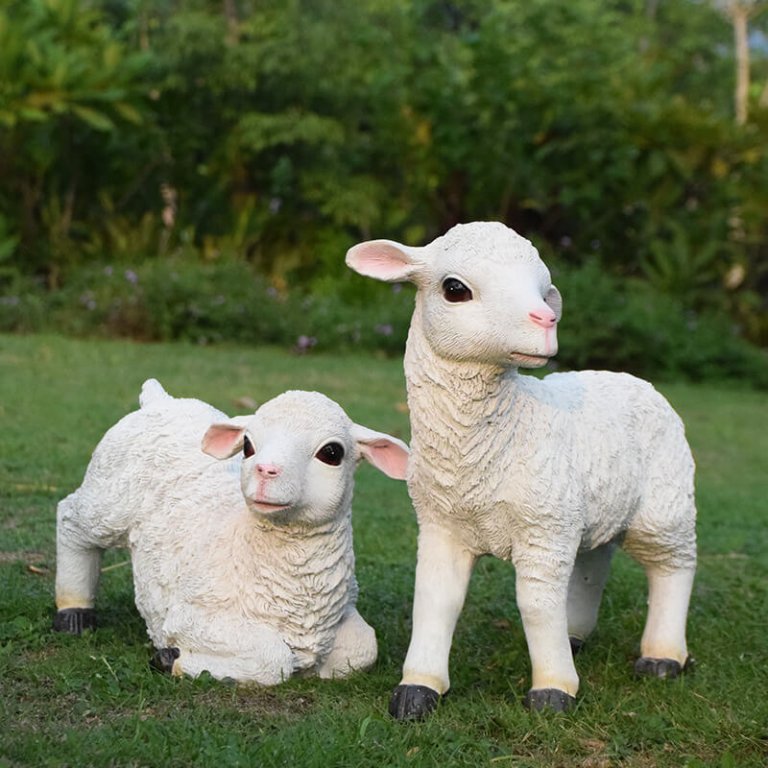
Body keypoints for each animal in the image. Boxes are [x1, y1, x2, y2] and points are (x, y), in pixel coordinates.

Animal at [54, 380, 409, 685]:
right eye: (248, 446)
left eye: (332, 453)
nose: (266, 469)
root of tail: (159, 400)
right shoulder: (191, 616)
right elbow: (273, 658)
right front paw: (170, 659)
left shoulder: (344, 610)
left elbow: (365, 646)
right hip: (107, 496)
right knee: (70, 519)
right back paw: (73, 611)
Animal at [346, 221, 697, 719]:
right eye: (455, 289)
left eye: (543, 288)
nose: (546, 320)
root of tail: (633, 379)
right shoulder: (442, 524)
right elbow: (435, 601)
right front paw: (418, 688)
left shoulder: (542, 527)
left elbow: (534, 605)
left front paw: (553, 691)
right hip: (586, 509)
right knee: (592, 563)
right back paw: (575, 636)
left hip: (664, 501)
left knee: (673, 565)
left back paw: (663, 657)